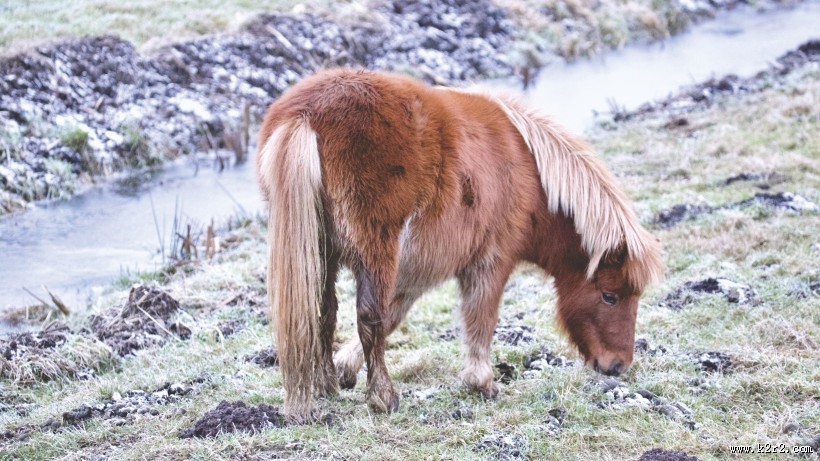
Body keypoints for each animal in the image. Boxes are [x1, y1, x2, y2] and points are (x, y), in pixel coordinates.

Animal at [255, 68, 663, 423]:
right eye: (610, 296)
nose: (617, 365)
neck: (531, 174)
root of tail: (307, 115)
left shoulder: (417, 267)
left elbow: (395, 313)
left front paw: (344, 368)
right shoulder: (490, 262)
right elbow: (479, 316)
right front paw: (481, 382)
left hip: (321, 252)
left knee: (323, 312)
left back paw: (326, 386)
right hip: (375, 250)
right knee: (367, 317)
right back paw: (383, 398)